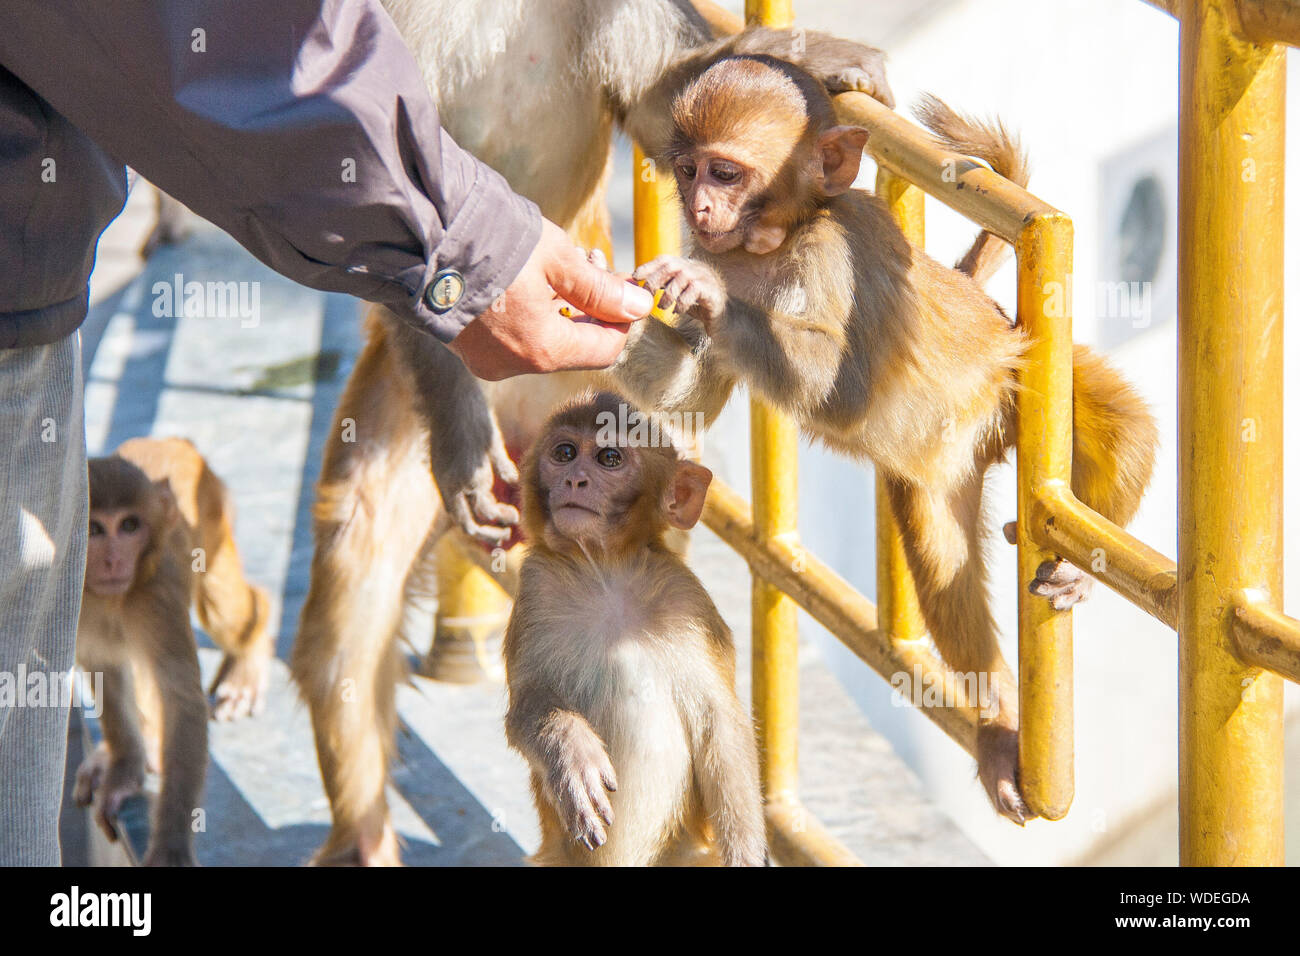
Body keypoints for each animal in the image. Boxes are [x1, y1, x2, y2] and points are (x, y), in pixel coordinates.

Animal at [75, 437, 272, 864]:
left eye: (129, 526)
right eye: (94, 529)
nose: (113, 560)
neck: (108, 599)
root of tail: (174, 441)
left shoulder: (156, 598)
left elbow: (182, 701)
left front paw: (170, 847)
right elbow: (104, 668)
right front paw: (124, 768)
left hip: (213, 524)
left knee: (229, 609)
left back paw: (248, 660)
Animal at [504, 390, 765, 866]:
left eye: (609, 458)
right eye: (564, 453)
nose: (574, 481)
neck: (606, 573)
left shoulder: (687, 602)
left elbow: (721, 725)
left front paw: (746, 854)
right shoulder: (537, 591)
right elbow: (527, 707)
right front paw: (571, 751)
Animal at [616, 55, 1158, 824]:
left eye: (725, 173)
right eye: (688, 171)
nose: (698, 209)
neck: (778, 240)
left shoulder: (833, 258)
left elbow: (842, 389)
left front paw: (710, 292)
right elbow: (693, 398)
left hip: (1013, 373)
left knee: (1124, 427)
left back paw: (1091, 555)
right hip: (949, 467)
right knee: (941, 556)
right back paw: (999, 721)